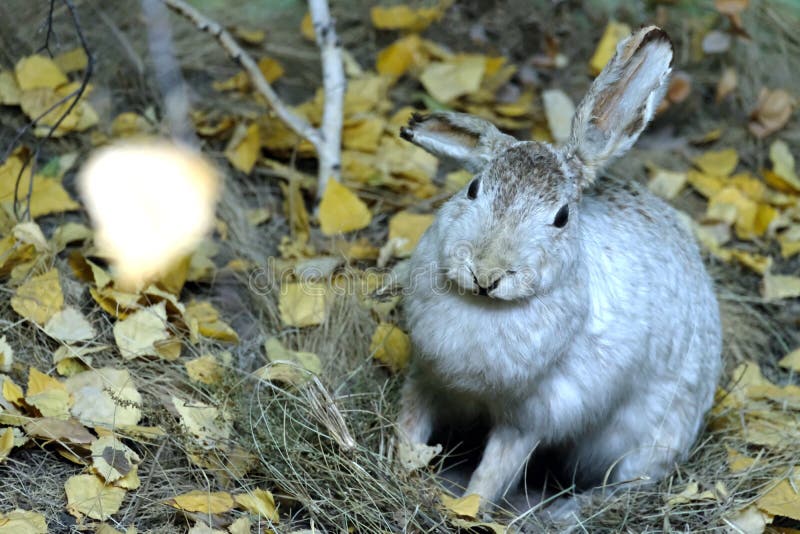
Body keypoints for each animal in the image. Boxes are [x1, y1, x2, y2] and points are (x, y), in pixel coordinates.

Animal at [395, 26, 722, 510]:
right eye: (472, 189)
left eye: (562, 217)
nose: (486, 275)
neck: (485, 309)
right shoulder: (428, 379)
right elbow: (410, 425)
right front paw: (399, 467)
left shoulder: (531, 419)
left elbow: (493, 473)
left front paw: (466, 508)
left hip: (652, 437)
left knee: (628, 483)